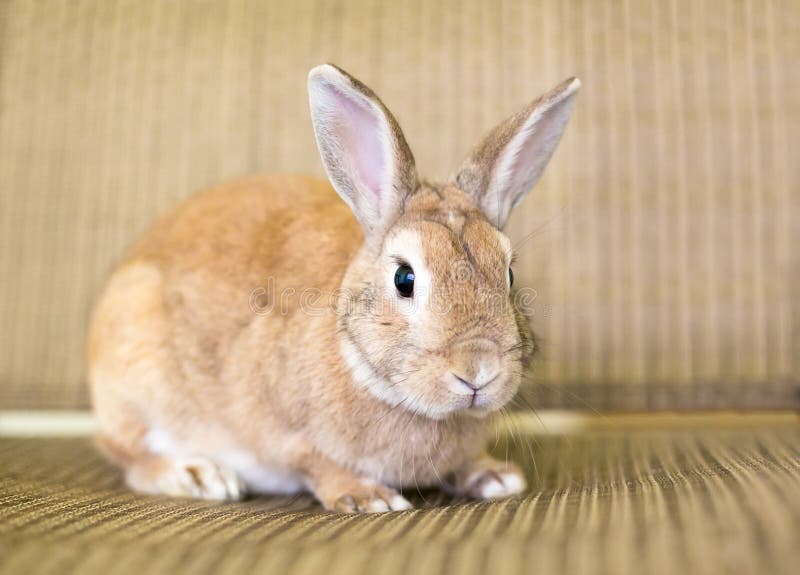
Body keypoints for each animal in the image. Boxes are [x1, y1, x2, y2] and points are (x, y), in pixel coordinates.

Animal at [87, 64, 580, 513]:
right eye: (405, 279)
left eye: (509, 273)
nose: (478, 371)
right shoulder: (283, 431)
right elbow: (316, 463)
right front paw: (368, 497)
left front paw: (494, 477)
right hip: (133, 379)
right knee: (128, 454)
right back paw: (198, 475)